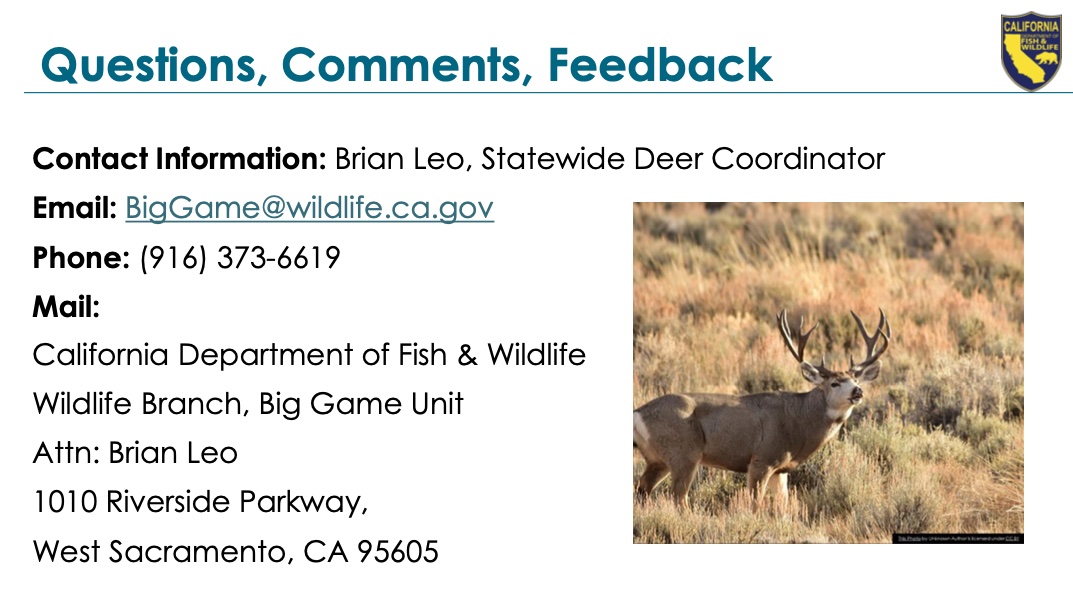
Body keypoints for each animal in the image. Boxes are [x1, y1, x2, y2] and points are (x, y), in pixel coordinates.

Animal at [633, 309, 890, 507]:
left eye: (855, 380)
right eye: (834, 383)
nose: (858, 391)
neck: (800, 422)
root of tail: (638, 413)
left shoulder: (781, 469)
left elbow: (783, 505)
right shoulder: (762, 458)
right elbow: (755, 504)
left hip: (658, 459)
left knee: (642, 489)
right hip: (684, 453)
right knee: (677, 497)